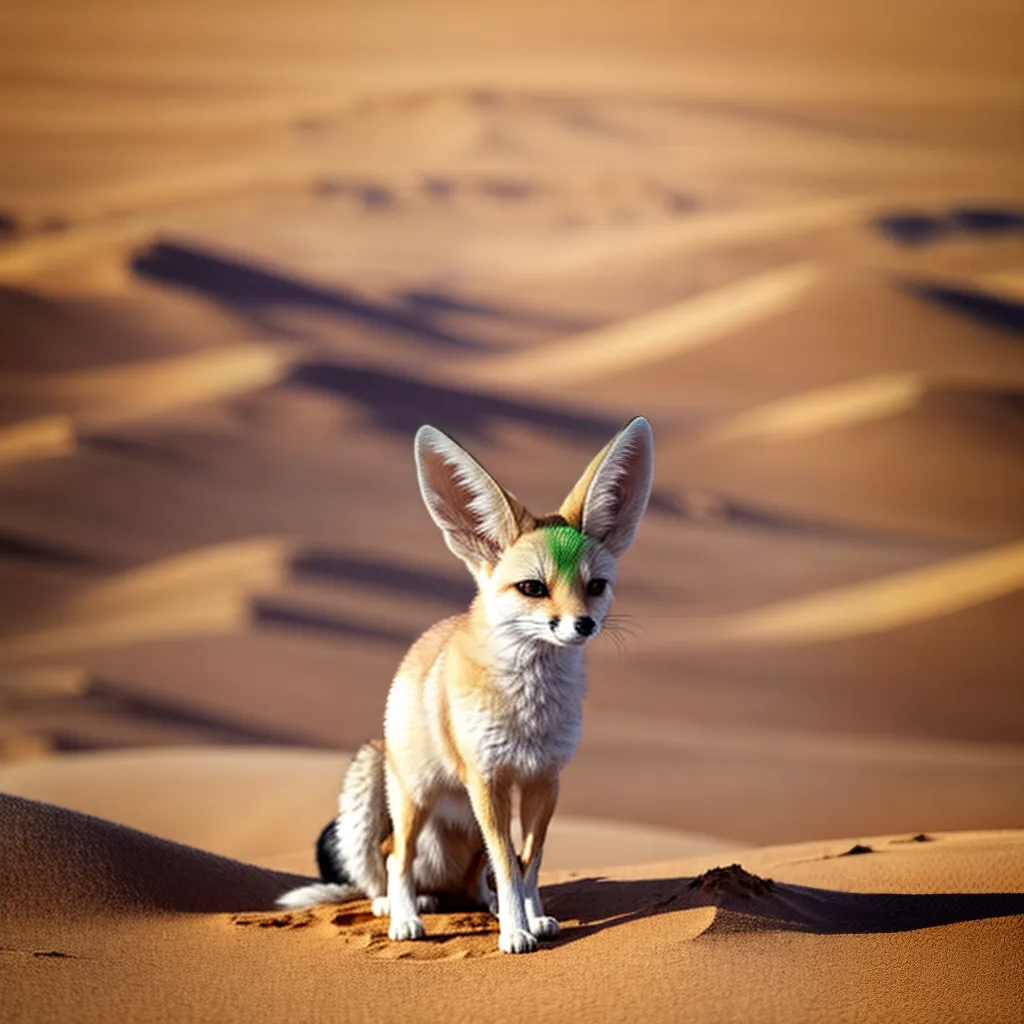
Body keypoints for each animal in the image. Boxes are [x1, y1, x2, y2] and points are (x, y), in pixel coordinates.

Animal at [278, 416, 654, 953]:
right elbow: (509, 863)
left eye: (595, 587)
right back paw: (401, 914)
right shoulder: (487, 778)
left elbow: (525, 863)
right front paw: (515, 933)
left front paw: (529, 918)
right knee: (394, 856)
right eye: (533, 588)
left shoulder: (544, 780)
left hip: (464, 825)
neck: (529, 713)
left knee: (476, 879)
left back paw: (481, 904)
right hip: (407, 793)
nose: (582, 625)